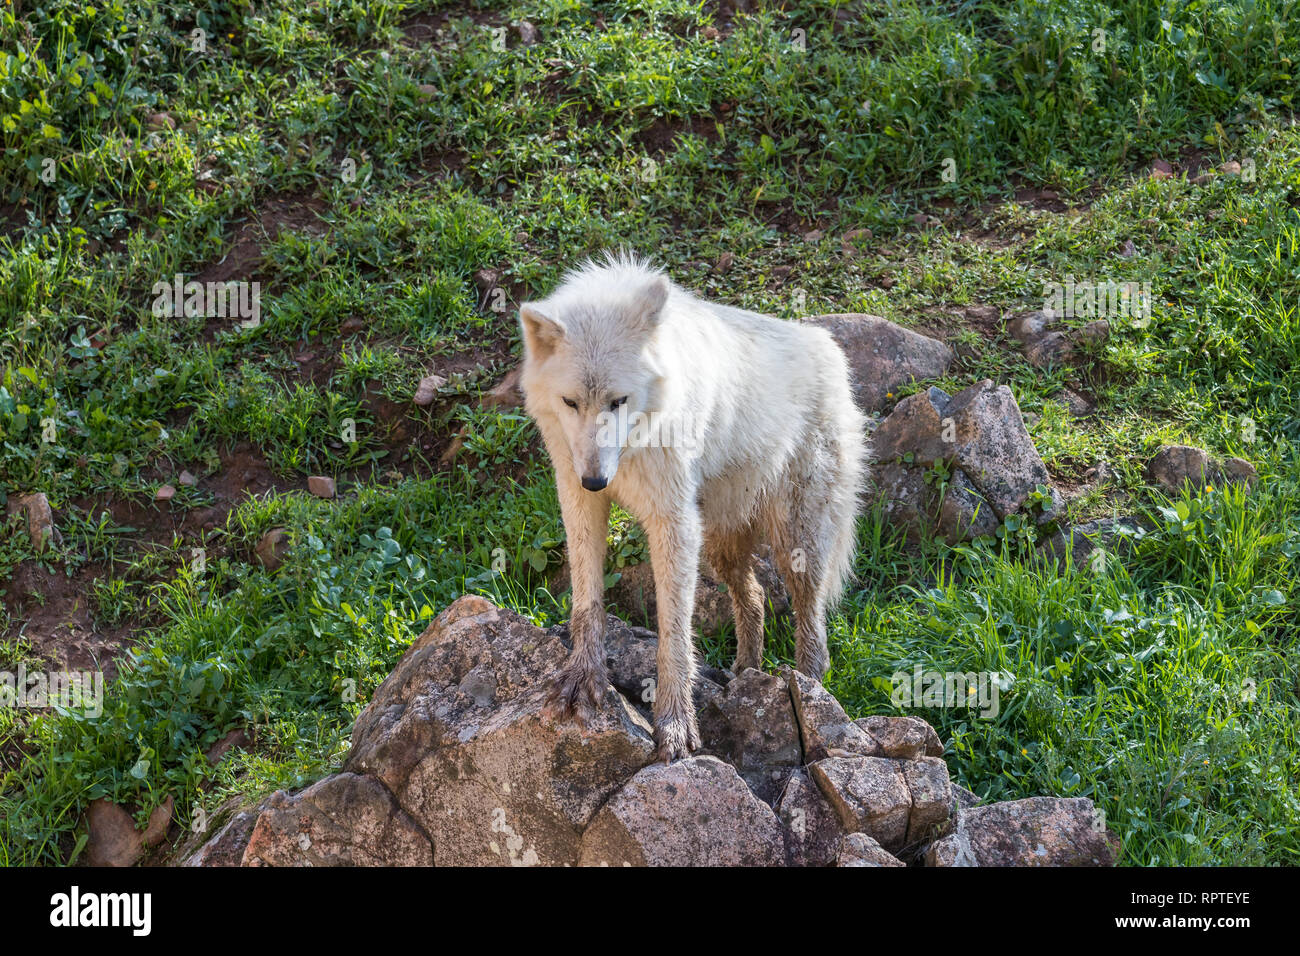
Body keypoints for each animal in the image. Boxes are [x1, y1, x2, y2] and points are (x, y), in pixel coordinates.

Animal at [520, 253, 867, 762]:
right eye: (570, 402)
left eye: (618, 401)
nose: (596, 480)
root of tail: (830, 349)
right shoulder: (578, 496)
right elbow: (587, 602)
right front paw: (583, 679)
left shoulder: (673, 520)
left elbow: (675, 634)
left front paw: (675, 724)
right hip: (721, 545)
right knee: (755, 597)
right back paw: (745, 673)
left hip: (795, 543)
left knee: (811, 623)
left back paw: (806, 687)